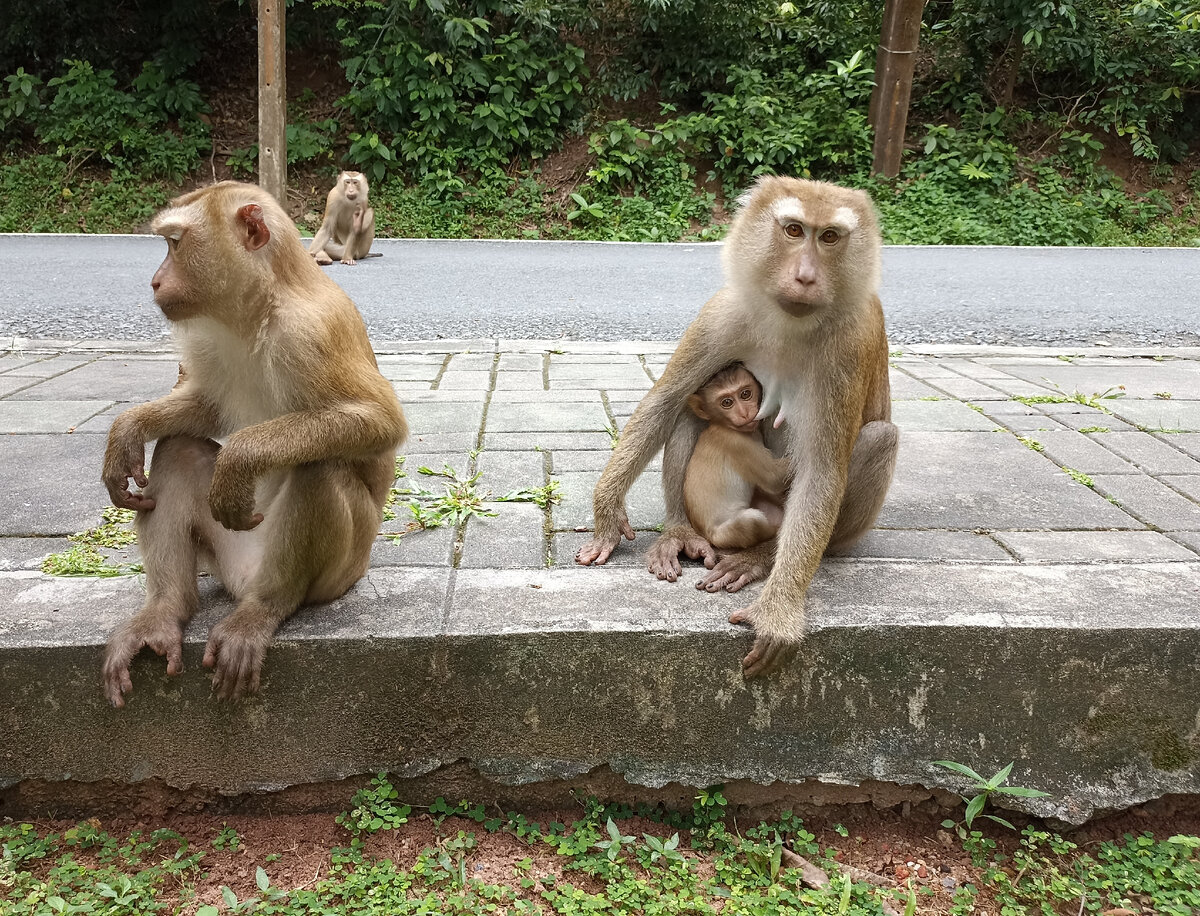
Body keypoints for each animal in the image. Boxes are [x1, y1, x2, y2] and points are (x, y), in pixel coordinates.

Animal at [100, 182, 408, 705]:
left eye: (175, 244)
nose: (156, 282)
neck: (258, 309)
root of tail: (245, 581)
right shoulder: (209, 339)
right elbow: (205, 409)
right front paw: (127, 429)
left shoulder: (313, 332)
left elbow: (381, 420)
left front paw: (241, 457)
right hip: (225, 556)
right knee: (179, 448)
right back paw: (164, 611)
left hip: (338, 574)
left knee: (320, 465)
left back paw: (265, 608)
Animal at [681, 364, 792, 552]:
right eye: (727, 403)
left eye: (745, 394)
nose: (744, 413)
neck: (723, 425)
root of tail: (707, 537)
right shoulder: (737, 444)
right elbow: (773, 478)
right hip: (726, 534)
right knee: (753, 520)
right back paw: (774, 531)